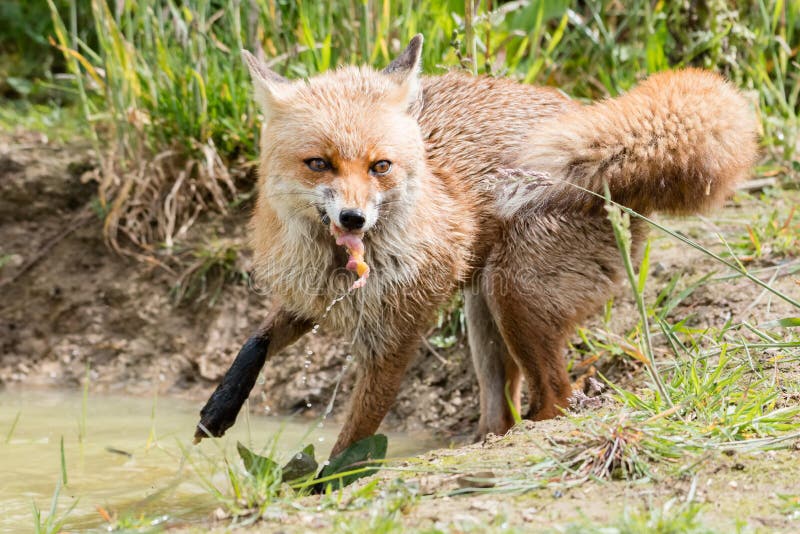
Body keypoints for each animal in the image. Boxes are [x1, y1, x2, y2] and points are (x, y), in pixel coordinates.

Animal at [194, 35, 757, 458]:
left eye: (381, 166)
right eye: (319, 164)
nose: (354, 218)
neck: (338, 265)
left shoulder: (394, 339)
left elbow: (352, 440)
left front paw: (318, 487)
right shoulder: (309, 296)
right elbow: (254, 342)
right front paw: (217, 409)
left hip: (513, 296)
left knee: (557, 397)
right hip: (482, 312)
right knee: (503, 412)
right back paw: (482, 443)